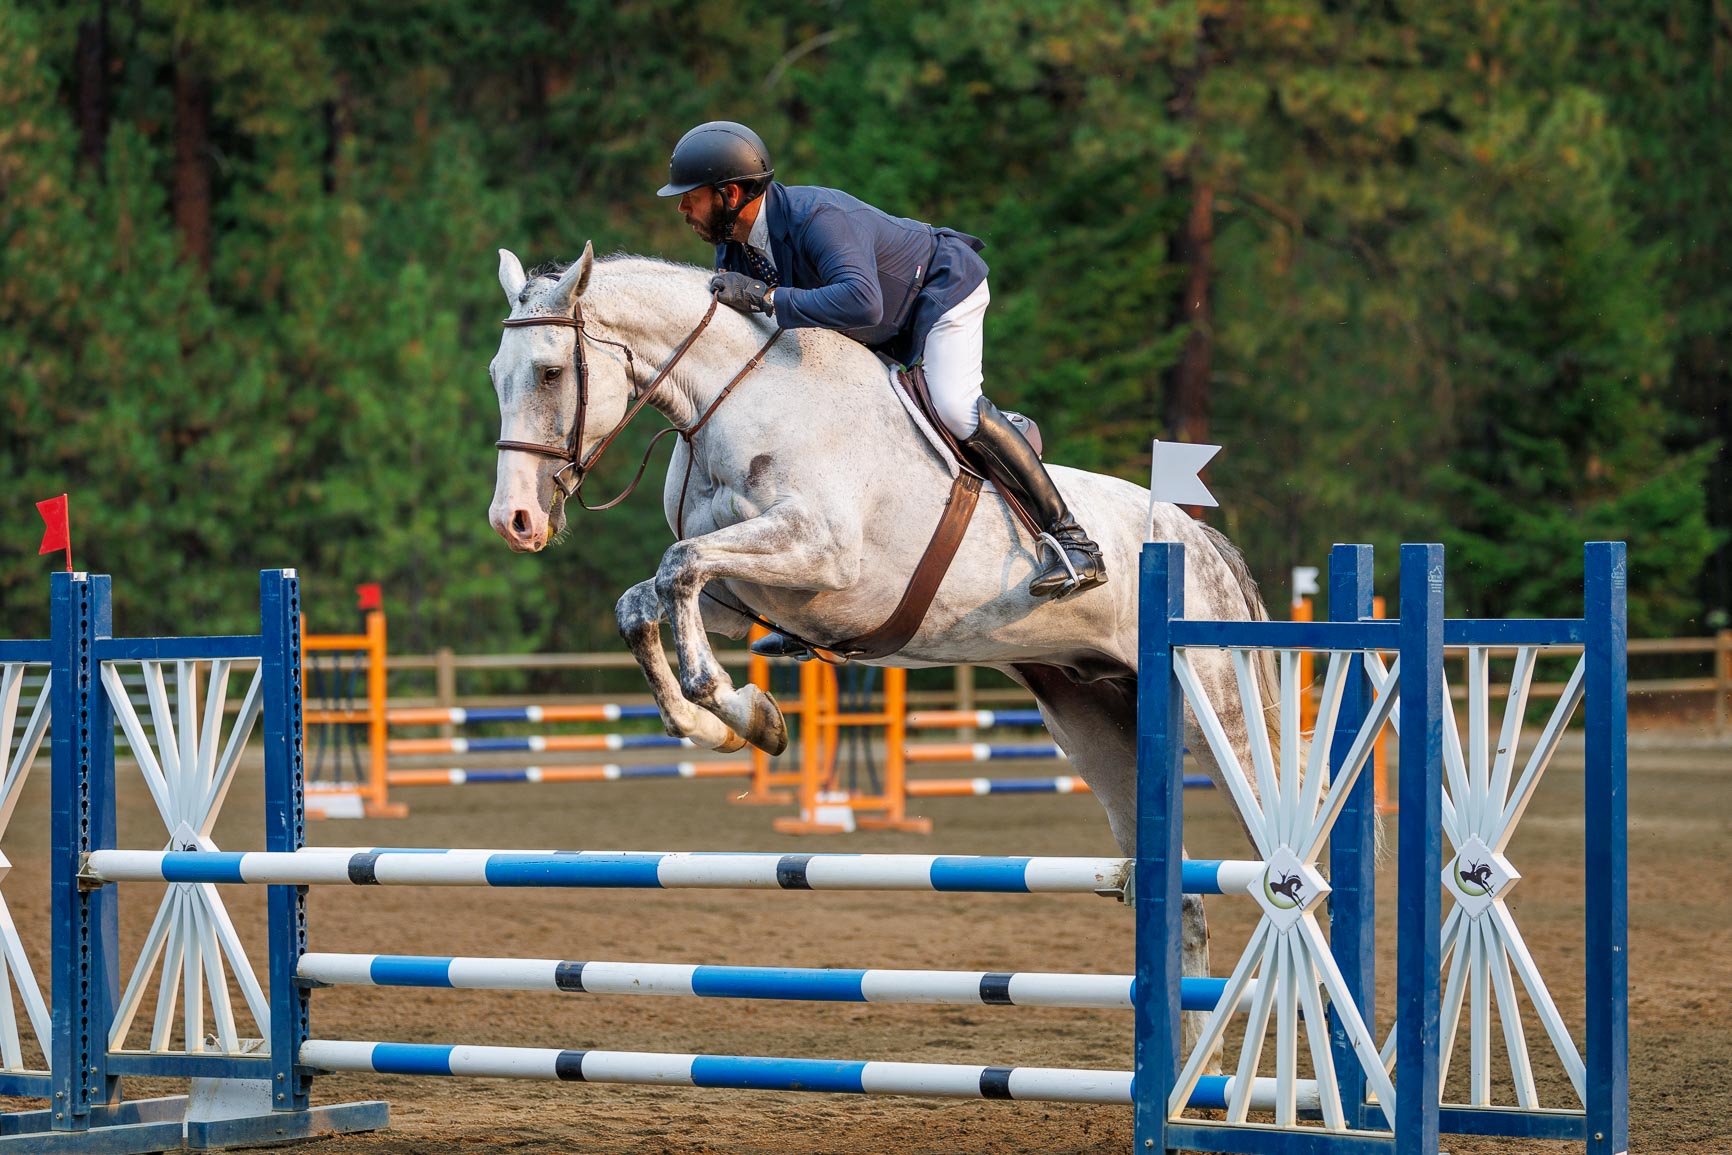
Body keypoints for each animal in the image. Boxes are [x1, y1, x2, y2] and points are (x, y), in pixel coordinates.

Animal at [486, 244, 1281, 1049]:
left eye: (549, 372)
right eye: (496, 373)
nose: (515, 520)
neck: (735, 400)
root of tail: (1196, 539)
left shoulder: (821, 557)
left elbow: (679, 567)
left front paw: (735, 707)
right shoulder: (741, 598)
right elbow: (645, 600)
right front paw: (737, 721)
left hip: (1216, 717)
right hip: (1096, 726)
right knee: (1180, 895)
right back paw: (1193, 1063)